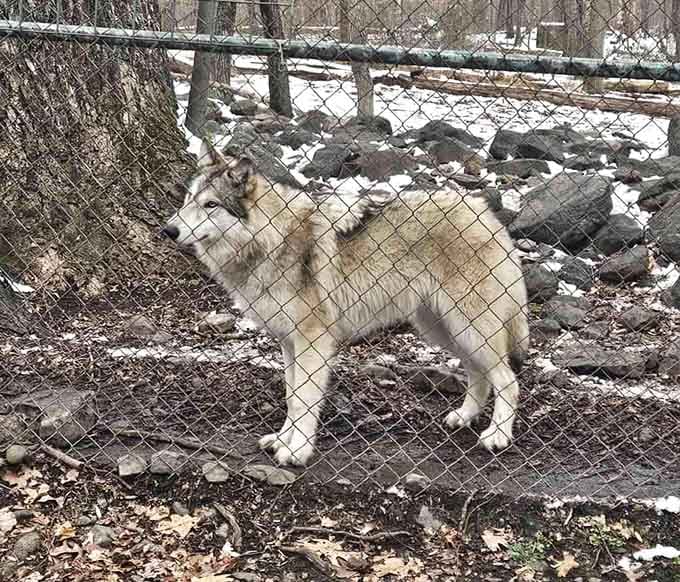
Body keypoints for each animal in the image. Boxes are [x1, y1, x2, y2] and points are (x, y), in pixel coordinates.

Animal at [163, 139, 529, 467]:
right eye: (189, 198)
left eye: (211, 205)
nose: (169, 230)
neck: (270, 241)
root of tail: (486, 215)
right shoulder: (288, 343)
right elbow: (291, 397)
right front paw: (282, 440)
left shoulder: (313, 342)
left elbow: (305, 399)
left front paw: (297, 452)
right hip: (443, 329)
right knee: (479, 374)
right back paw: (464, 417)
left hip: (468, 328)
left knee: (508, 381)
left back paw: (497, 436)